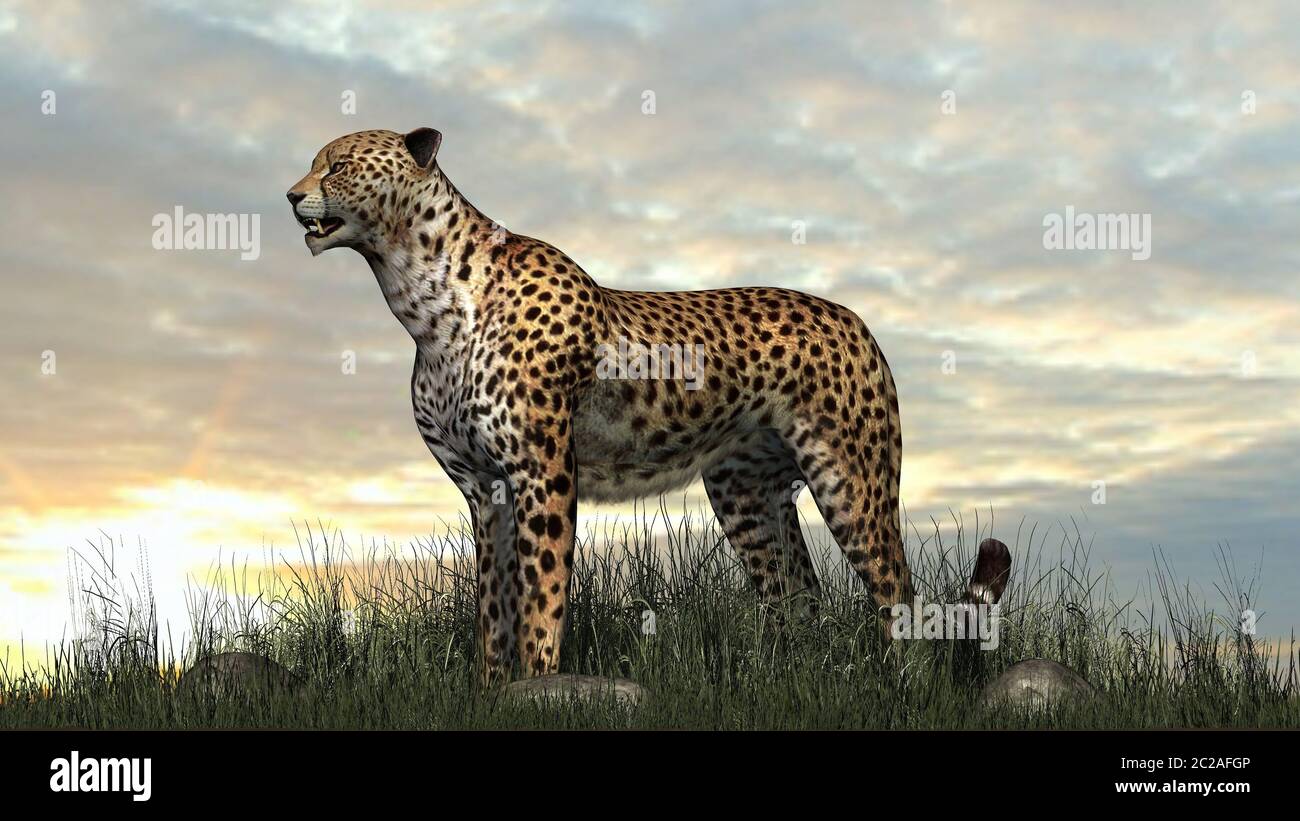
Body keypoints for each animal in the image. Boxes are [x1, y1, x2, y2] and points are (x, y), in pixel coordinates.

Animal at [287, 127, 1010, 683]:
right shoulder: (482, 488)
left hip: (852, 480)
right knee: (799, 596)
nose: (292, 194)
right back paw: (793, 683)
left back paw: (904, 688)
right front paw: (491, 690)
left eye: (338, 164)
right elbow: (494, 608)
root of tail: (852, 317)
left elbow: (542, 597)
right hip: (747, 494)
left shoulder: (543, 475)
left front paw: (539, 687)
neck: (422, 293)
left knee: (898, 593)